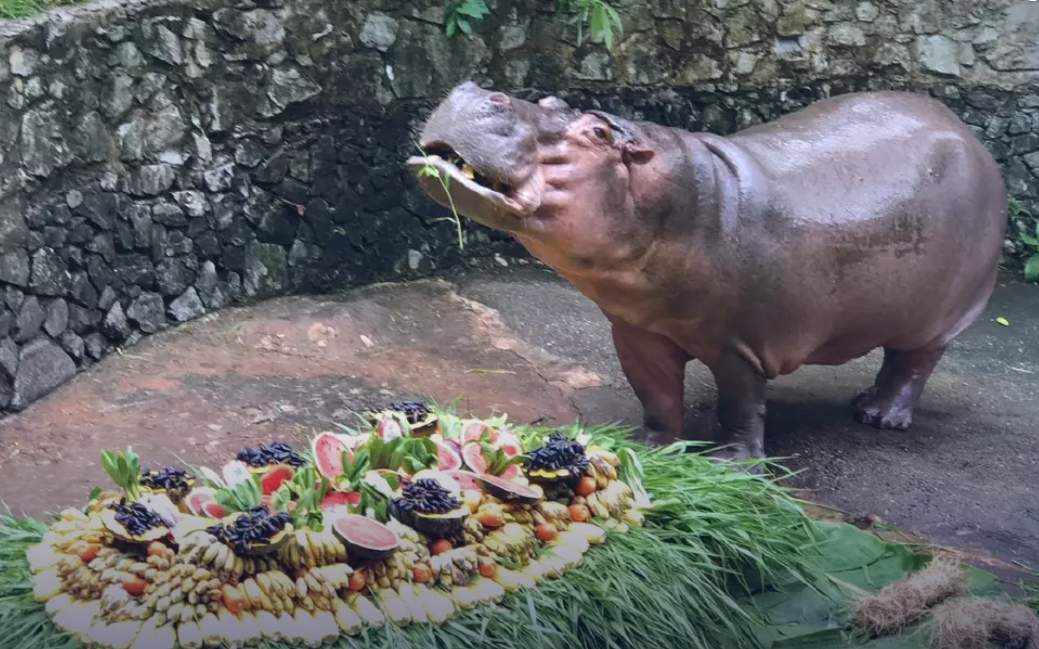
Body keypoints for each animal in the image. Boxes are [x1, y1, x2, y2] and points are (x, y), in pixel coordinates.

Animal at [406, 81, 1008, 465]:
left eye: (598, 134)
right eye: (551, 100)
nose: (477, 89)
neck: (679, 198)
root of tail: (966, 130)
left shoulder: (740, 343)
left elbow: (738, 406)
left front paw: (730, 463)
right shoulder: (636, 331)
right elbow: (655, 395)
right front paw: (647, 448)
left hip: (940, 313)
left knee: (915, 362)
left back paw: (881, 418)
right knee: (893, 358)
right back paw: (864, 404)